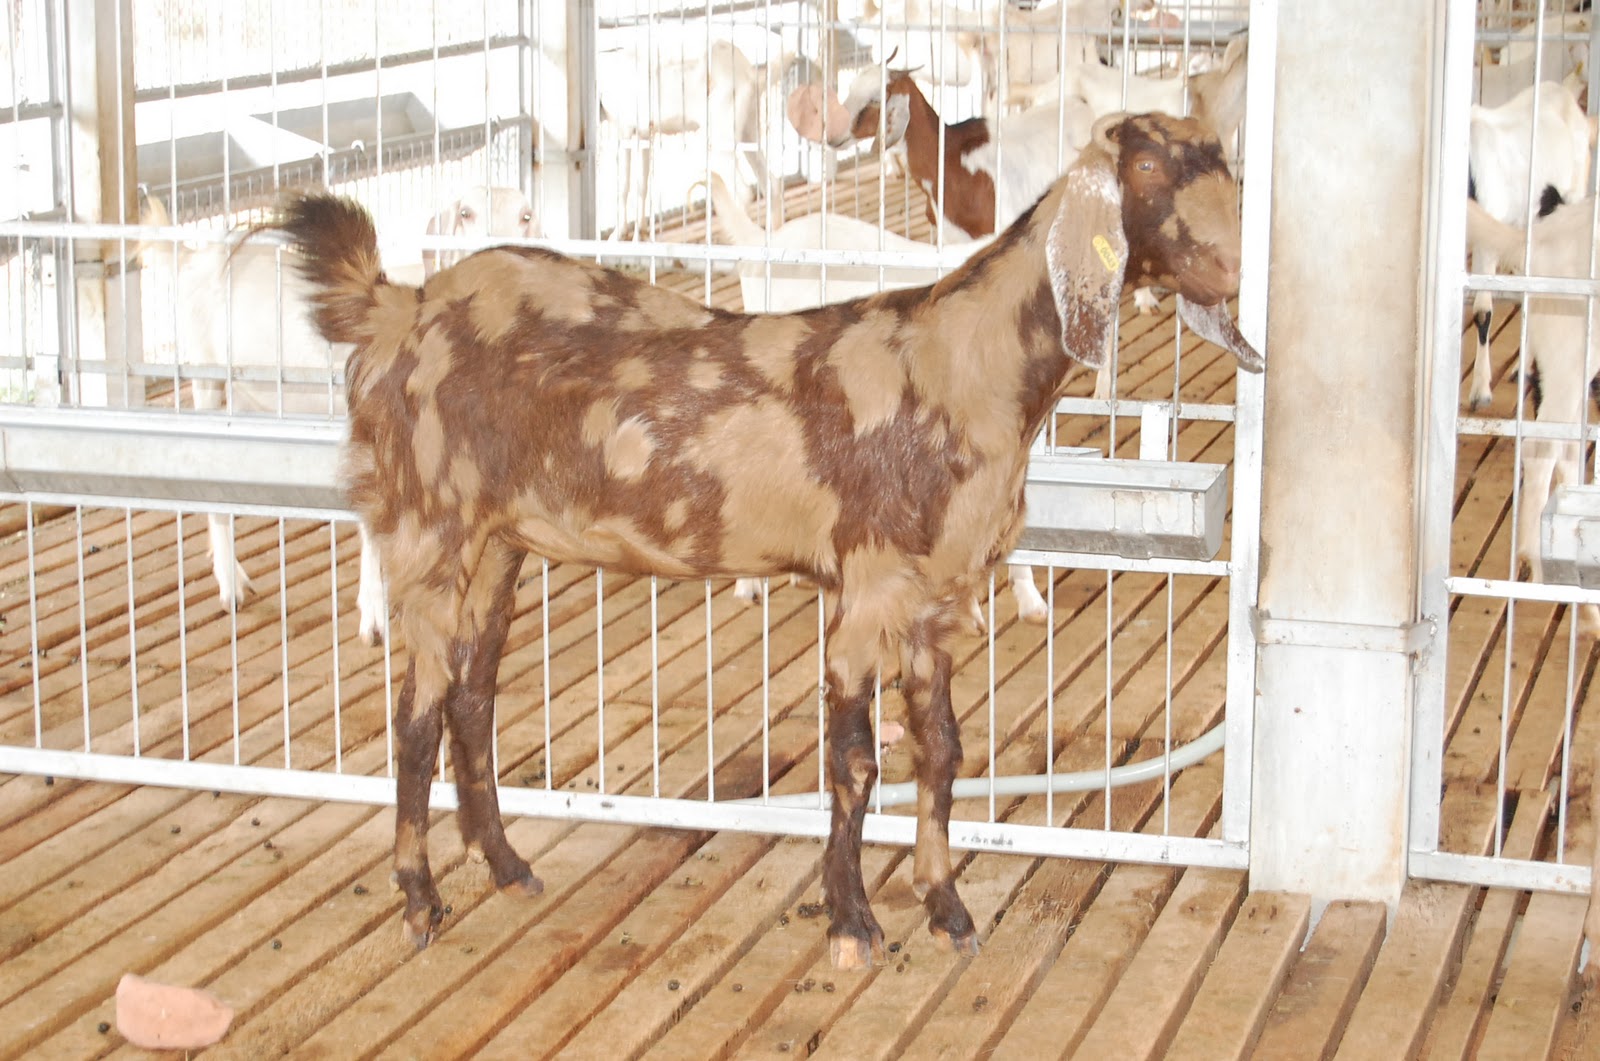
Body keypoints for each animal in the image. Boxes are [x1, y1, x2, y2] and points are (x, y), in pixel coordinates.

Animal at [142, 186, 537, 645]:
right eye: (466, 213)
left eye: (527, 216)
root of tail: (192, 257)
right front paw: (376, 617)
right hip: (205, 375)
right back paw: (231, 584)